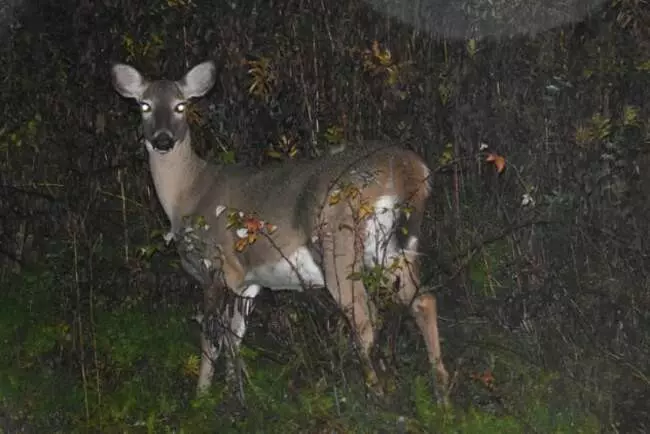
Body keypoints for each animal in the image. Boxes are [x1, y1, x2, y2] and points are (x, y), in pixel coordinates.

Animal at [110, 59, 446, 402]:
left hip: (338, 242)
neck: (188, 193)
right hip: (394, 247)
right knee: (424, 301)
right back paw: (441, 394)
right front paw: (238, 394)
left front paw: (202, 397)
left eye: (181, 106)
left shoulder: (212, 264)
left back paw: (377, 397)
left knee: (365, 318)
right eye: (144, 105)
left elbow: (210, 337)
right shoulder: (248, 282)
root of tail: (408, 169)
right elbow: (235, 338)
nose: (162, 140)